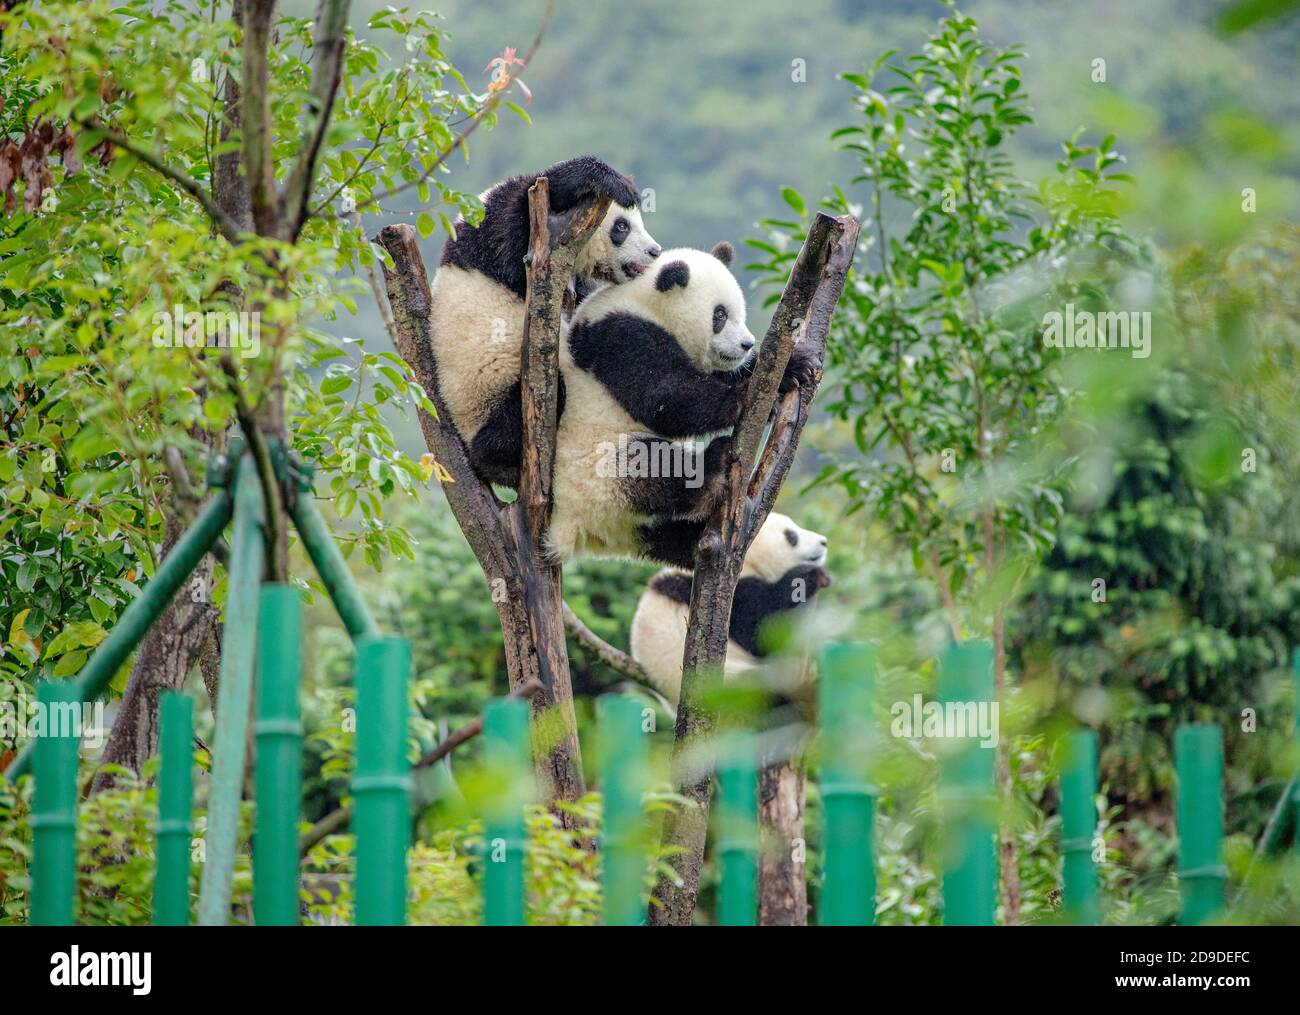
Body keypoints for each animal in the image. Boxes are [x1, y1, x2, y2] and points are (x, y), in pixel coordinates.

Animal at [429, 156, 661, 488]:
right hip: (484, 393)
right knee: (509, 423)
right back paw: (501, 461)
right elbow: (517, 230)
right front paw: (610, 181)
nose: (654, 251)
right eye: (622, 227)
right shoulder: (495, 228)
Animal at [545, 242, 816, 567]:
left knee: (668, 537)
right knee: (653, 467)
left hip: (635, 526)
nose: (747, 344)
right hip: (596, 469)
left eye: (739, 313)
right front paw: (748, 399)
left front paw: (795, 366)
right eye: (720, 315)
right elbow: (665, 398)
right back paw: (713, 468)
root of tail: (573, 528)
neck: (648, 303)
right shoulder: (620, 334)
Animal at [628, 512, 831, 708]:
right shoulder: (728, 594)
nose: (823, 541)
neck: (748, 560)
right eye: (791, 536)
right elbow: (760, 630)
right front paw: (812, 576)